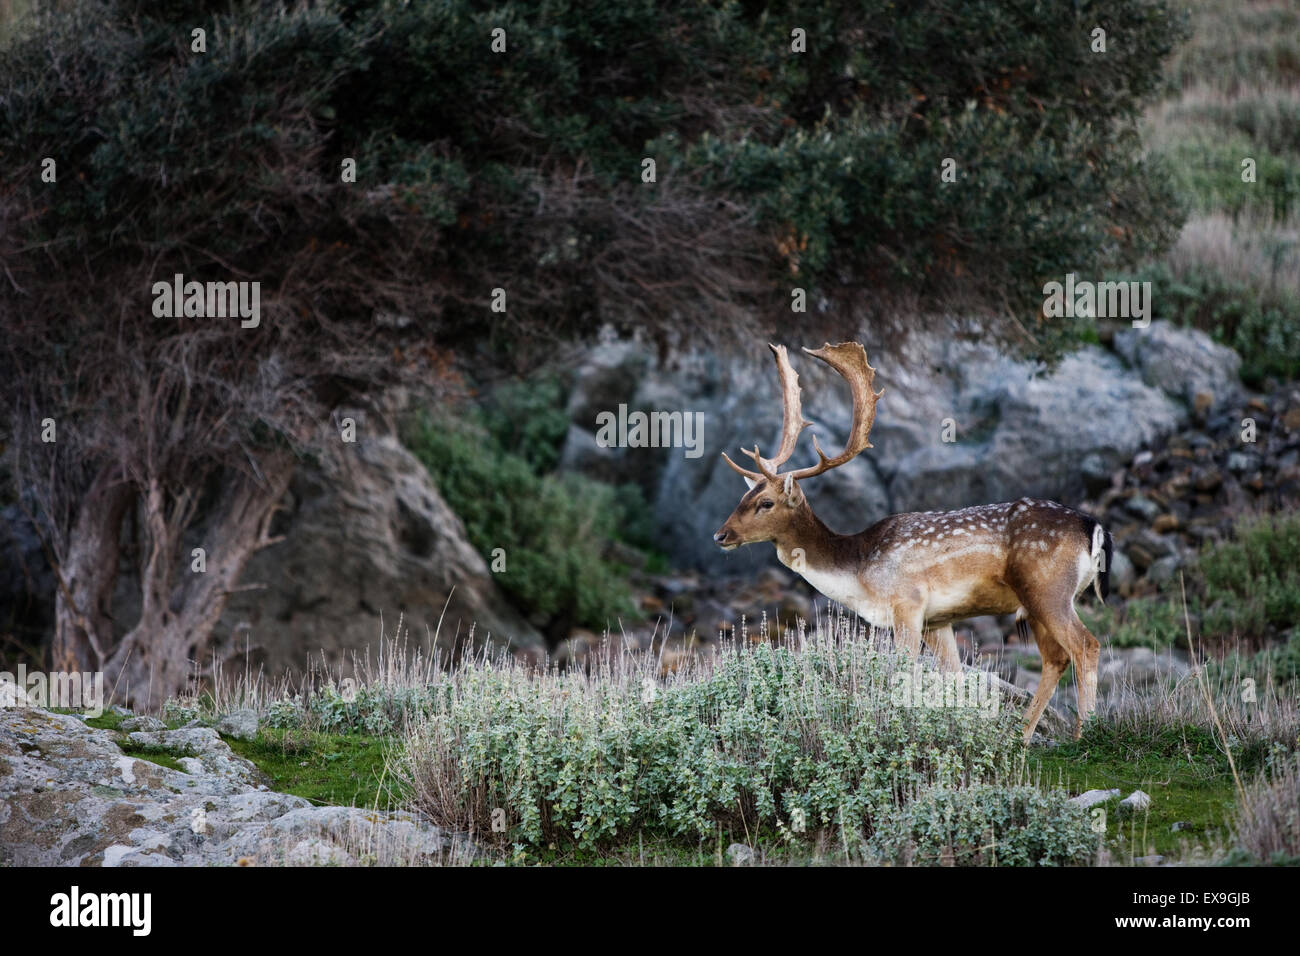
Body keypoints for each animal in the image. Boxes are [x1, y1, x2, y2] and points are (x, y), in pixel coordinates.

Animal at [712, 342, 1112, 742]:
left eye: (766, 503)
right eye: (742, 498)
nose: (720, 535)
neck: (858, 570)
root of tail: (1093, 527)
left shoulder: (907, 603)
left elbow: (902, 674)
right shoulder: (939, 619)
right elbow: (954, 677)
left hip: (1047, 588)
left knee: (1086, 645)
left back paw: (1085, 735)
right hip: (1037, 601)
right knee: (1055, 657)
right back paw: (1022, 738)